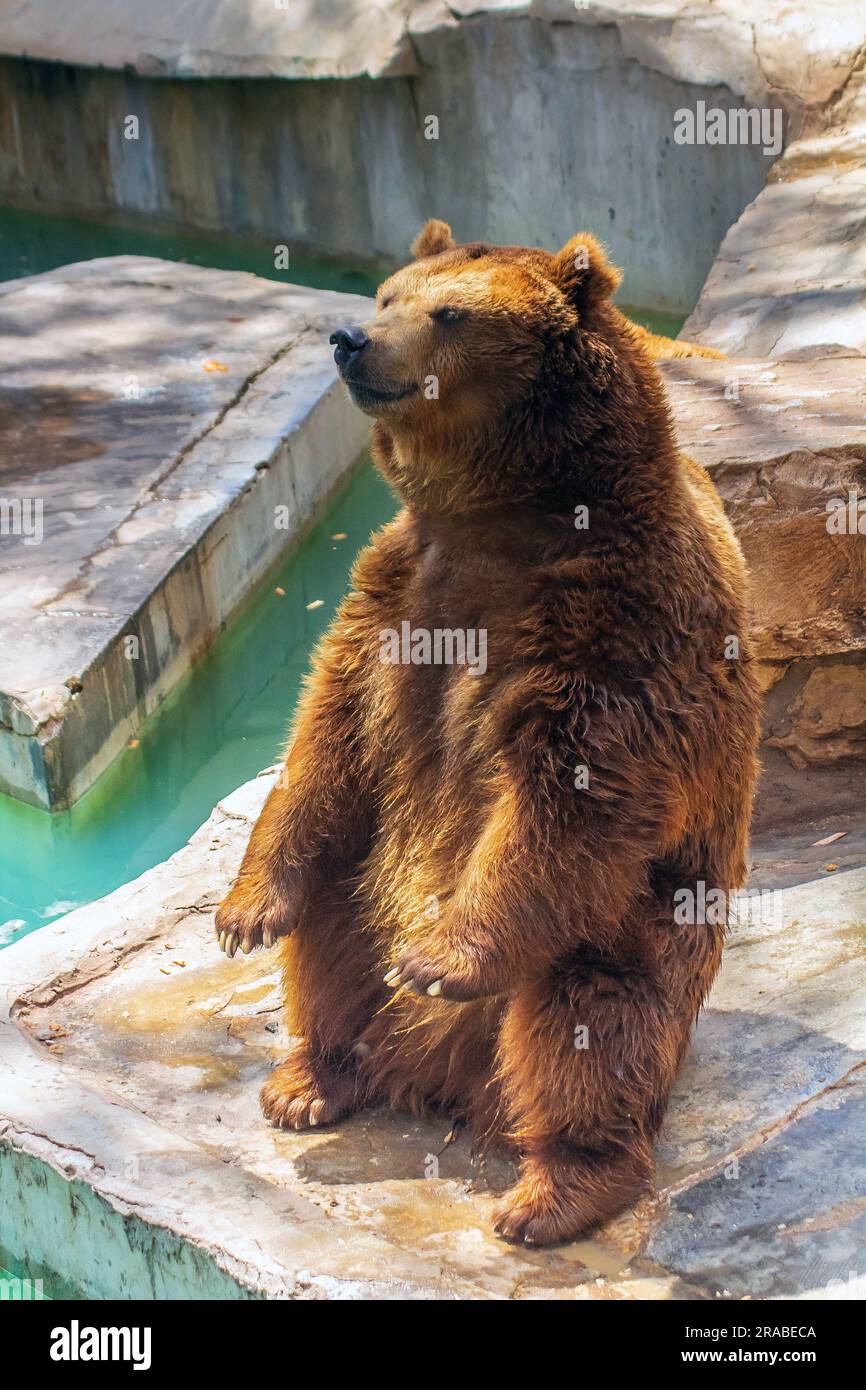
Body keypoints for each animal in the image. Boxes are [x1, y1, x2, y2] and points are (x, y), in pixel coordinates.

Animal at [215, 220, 760, 1247]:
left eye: (451, 314)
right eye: (391, 294)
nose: (350, 339)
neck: (499, 517)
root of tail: (444, 1082)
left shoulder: (616, 617)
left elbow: (574, 792)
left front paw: (438, 958)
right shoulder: (393, 598)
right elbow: (325, 738)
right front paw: (244, 914)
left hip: (633, 925)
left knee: (587, 1021)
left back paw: (551, 1191)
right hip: (371, 880)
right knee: (333, 936)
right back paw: (311, 1077)